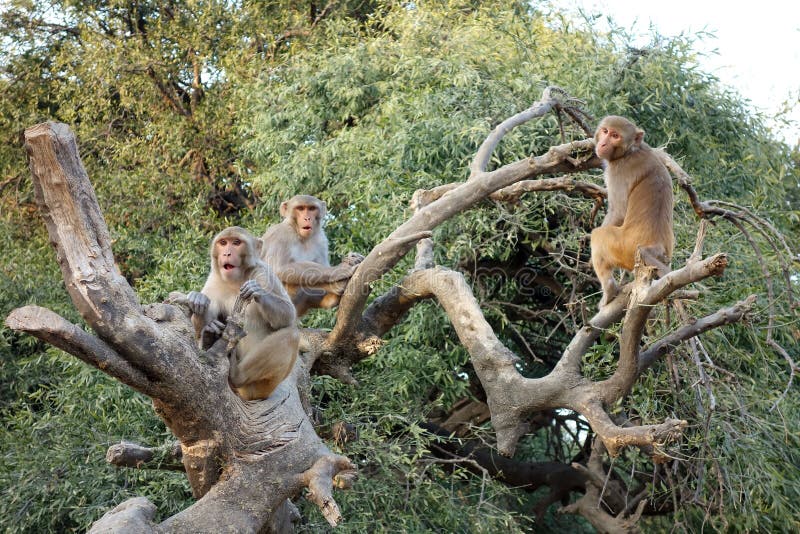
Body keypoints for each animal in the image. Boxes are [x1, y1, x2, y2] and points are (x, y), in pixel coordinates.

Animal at [187, 226, 299, 400]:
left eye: (236, 242)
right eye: (223, 243)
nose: (226, 253)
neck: (236, 281)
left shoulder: (264, 273)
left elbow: (289, 315)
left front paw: (256, 291)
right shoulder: (214, 281)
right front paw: (197, 301)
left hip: (263, 387)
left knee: (291, 335)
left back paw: (237, 375)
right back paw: (208, 337)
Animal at [590, 115, 674, 308]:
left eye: (615, 136)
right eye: (605, 131)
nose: (603, 143)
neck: (629, 152)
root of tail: (654, 246)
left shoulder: (618, 171)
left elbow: (618, 211)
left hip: (623, 247)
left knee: (598, 236)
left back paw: (609, 291)